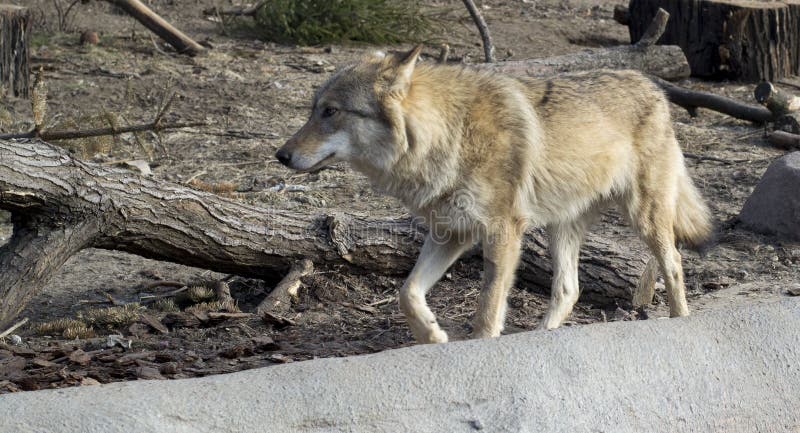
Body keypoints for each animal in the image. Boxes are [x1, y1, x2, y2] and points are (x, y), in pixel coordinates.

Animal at [276, 46, 711, 344]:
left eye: (331, 111)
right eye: (313, 110)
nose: (281, 155)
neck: (449, 134)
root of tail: (652, 85)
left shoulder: (502, 231)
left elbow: (487, 313)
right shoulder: (451, 233)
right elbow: (407, 294)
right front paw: (433, 336)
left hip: (645, 218)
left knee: (674, 265)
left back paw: (680, 321)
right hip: (561, 229)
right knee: (569, 290)